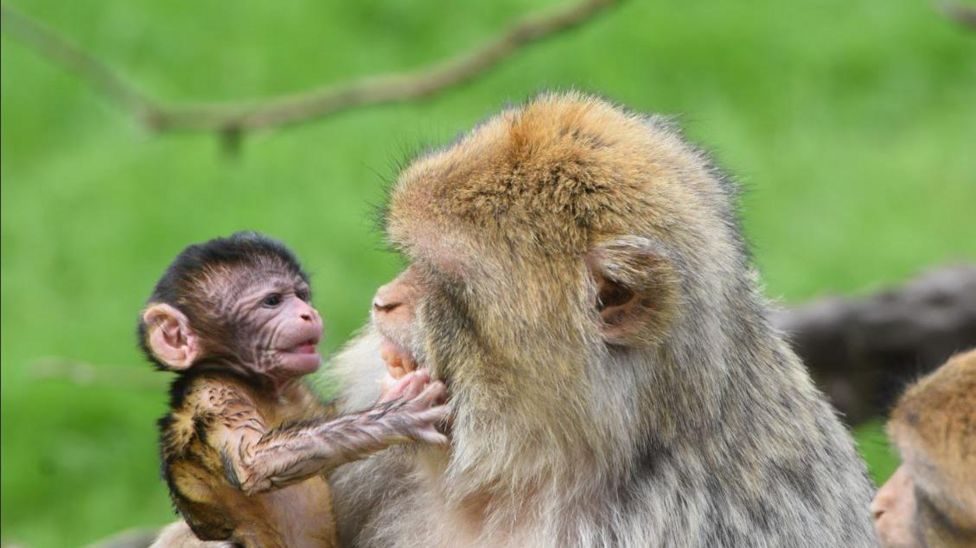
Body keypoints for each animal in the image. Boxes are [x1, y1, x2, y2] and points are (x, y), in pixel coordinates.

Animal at [139, 232, 449, 548]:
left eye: (301, 295)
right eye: (272, 301)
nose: (308, 314)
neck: (260, 386)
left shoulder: (297, 393)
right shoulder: (215, 394)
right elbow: (253, 463)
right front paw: (398, 414)